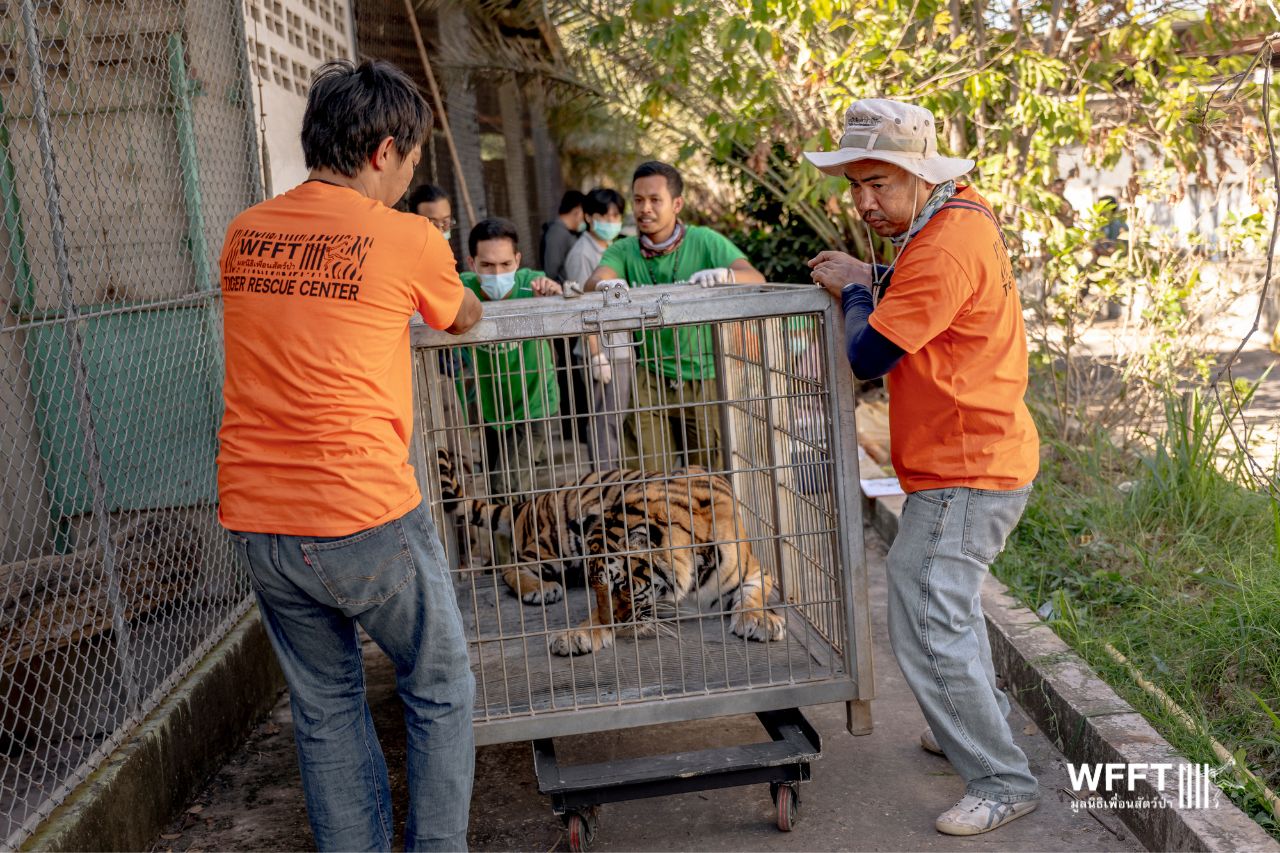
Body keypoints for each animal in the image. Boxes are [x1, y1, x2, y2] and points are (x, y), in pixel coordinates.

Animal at [548, 467, 786, 656]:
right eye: (595, 587)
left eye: (623, 587)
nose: (610, 622)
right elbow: (594, 615)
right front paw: (573, 635)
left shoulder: (756, 572)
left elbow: (751, 596)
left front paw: (761, 620)